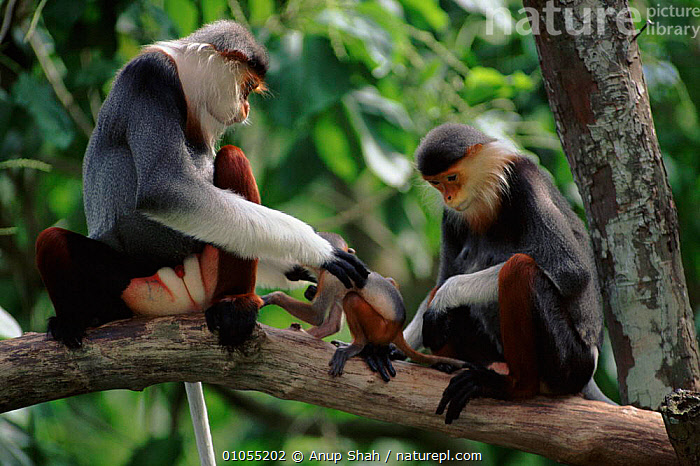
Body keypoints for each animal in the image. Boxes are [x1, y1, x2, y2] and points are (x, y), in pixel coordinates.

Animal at [261, 232, 466, 381]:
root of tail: (398, 329)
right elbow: (331, 324)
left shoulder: (330, 277)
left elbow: (316, 315)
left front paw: (272, 297)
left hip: (380, 328)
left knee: (351, 299)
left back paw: (357, 347)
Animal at [399, 123, 614, 424]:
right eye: (437, 183)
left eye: (452, 177)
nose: (448, 198)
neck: (489, 196)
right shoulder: (450, 216)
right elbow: (443, 278)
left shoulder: (525, 182)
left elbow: (571, 271)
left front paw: (447, 295)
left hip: (570, 365)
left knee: (518, 268)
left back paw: (512, 386)